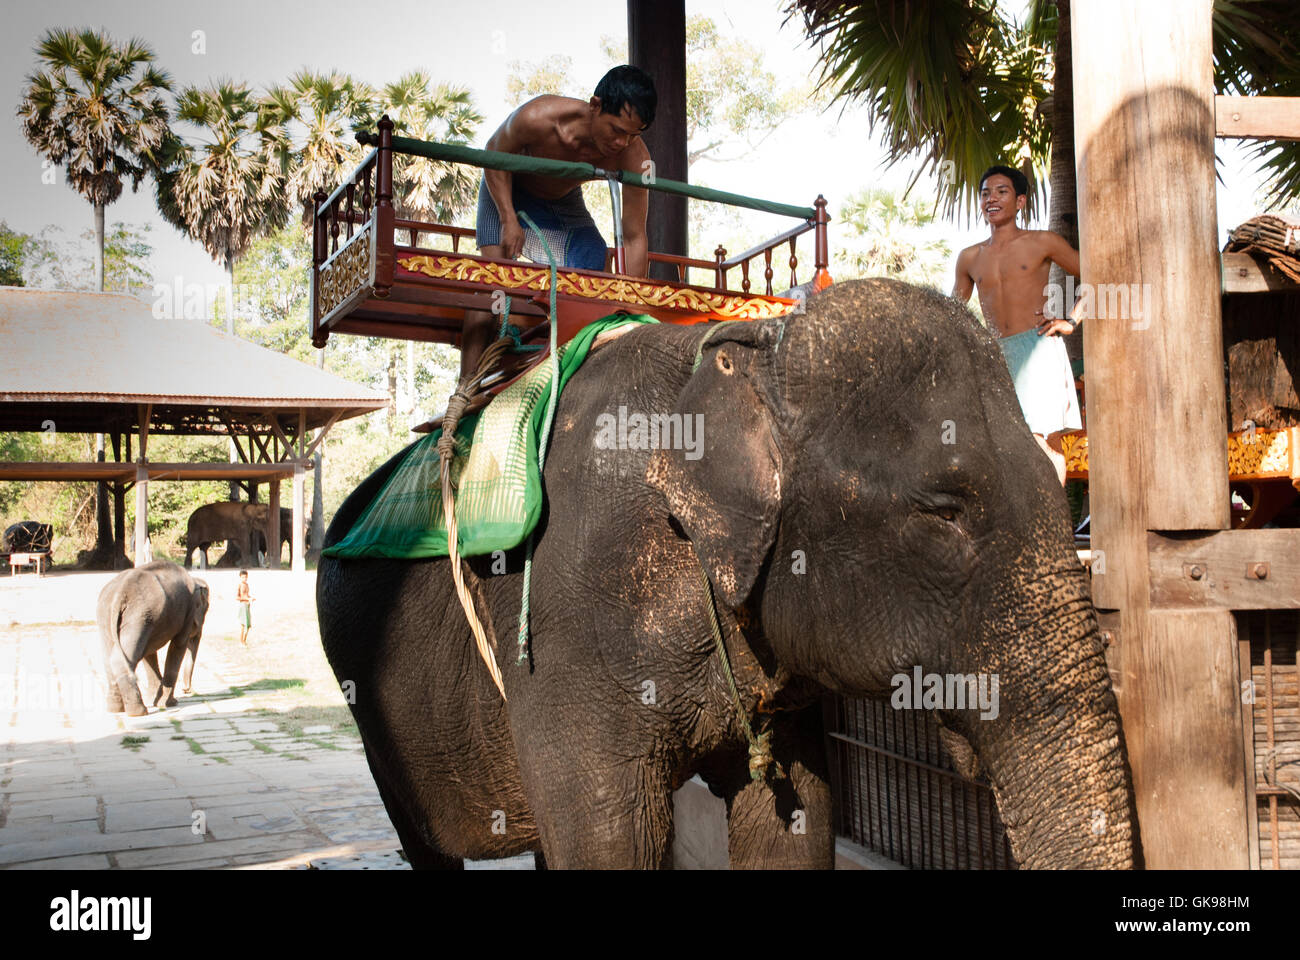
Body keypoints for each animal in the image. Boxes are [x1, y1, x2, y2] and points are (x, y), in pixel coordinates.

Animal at [98, 560, 209, 716]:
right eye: (207, 609)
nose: (187, 690)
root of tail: (118, 595)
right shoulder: (189, 610)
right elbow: (178, 644)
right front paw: (168, 703)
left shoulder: (152, 624)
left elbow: (149, 653)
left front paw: (156, 700)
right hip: (137, 617)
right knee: (122, 659)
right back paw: (139, 711)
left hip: (111, 617)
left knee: (110, 659)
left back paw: (115, 709)